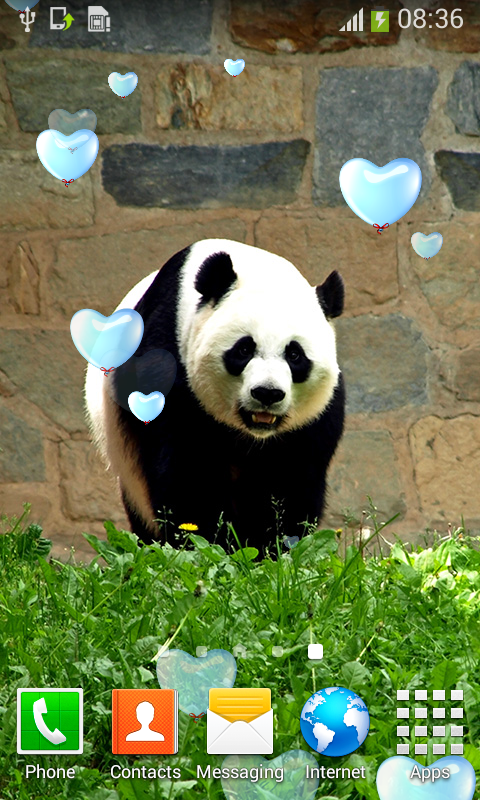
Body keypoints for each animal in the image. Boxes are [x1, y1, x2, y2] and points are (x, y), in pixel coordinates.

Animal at [85, 239, 345, 551]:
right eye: (244, 349)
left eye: (295, 355)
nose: (267, 393)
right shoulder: (167, 364)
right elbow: (187, 471)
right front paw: (211, 544)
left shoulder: (312, 421)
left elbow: (289, 480)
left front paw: (269, 547)